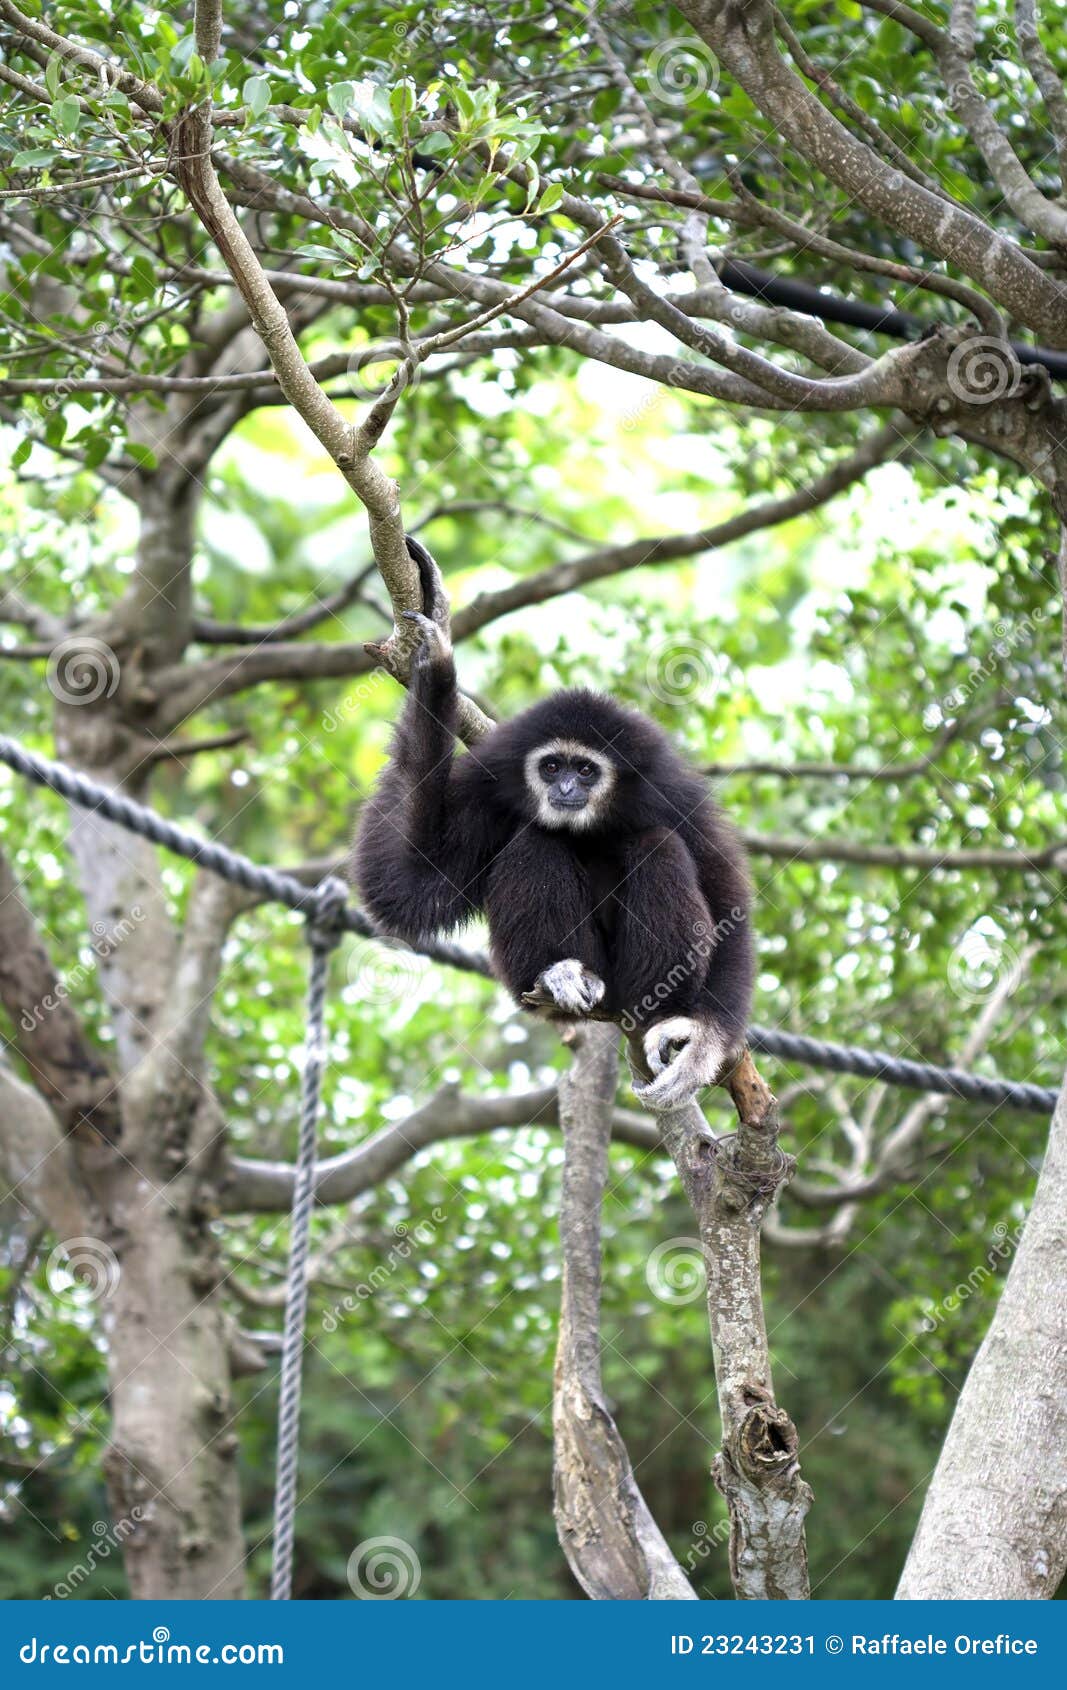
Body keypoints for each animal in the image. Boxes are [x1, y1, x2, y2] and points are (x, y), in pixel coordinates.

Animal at [352, 539, 754, 1109]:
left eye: (585, 770)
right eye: (551, 767)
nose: (565, 789)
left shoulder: (677, 794)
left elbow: (728, 906)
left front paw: (704, 1041)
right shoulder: (487, 785)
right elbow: (402, 887)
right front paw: (436, 667)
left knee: (658, 844)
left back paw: (658, 1006)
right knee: (535, 840)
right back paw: (560, 972)